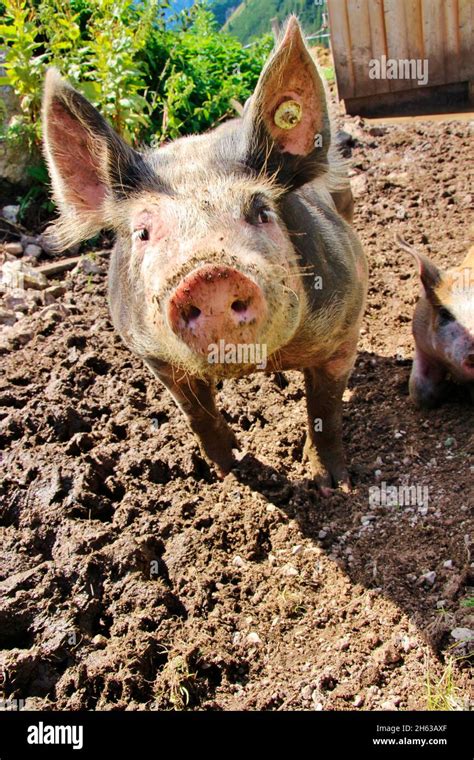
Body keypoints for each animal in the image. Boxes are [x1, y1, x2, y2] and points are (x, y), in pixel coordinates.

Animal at [42, 17, 368, 493]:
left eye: (260, 210)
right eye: (142, 232)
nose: (210, 276)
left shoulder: (345, 320)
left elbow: (324, 408)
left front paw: (334, 486)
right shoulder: (153, 355)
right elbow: (197, 415)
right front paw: (228, 471)